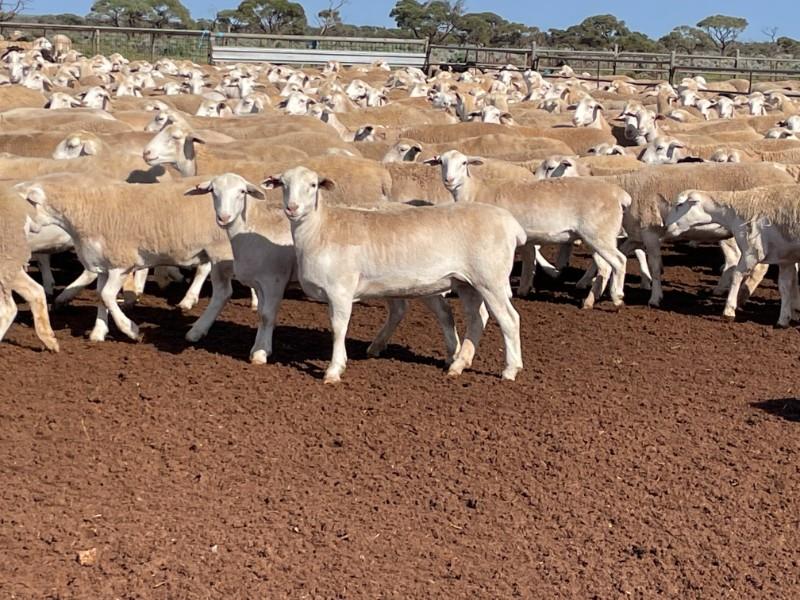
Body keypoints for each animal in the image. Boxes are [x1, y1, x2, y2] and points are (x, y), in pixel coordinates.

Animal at [263, 166, 526, 382]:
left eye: (313, 185)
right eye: (283, 184)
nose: (292, 208)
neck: (320, 229)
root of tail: (511, 224)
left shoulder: (340, 289)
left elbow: (338, 328)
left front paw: (334, 370)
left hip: (490, 279)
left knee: (510, 320)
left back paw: (510, 370)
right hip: (467, 282)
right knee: (476, 318)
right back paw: (458, 365)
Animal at [425, 150, 629, 309]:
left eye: (464, 163)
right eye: (441, 162)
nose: (449, 180)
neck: (475, 191)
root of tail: (619, 195)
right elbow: (529, 259)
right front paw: (524, 289)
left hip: (597, 234)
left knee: (617, 262)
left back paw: (614, 298)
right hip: (599, 236)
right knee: (606, 266)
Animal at [665, 186, 800, 326]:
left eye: (679, 204)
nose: (666, 226)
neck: (735, 212)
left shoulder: (752, 251)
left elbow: (736, 275)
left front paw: (728, 311)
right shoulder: (786, 257)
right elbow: (785, 286)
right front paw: (784, 319)